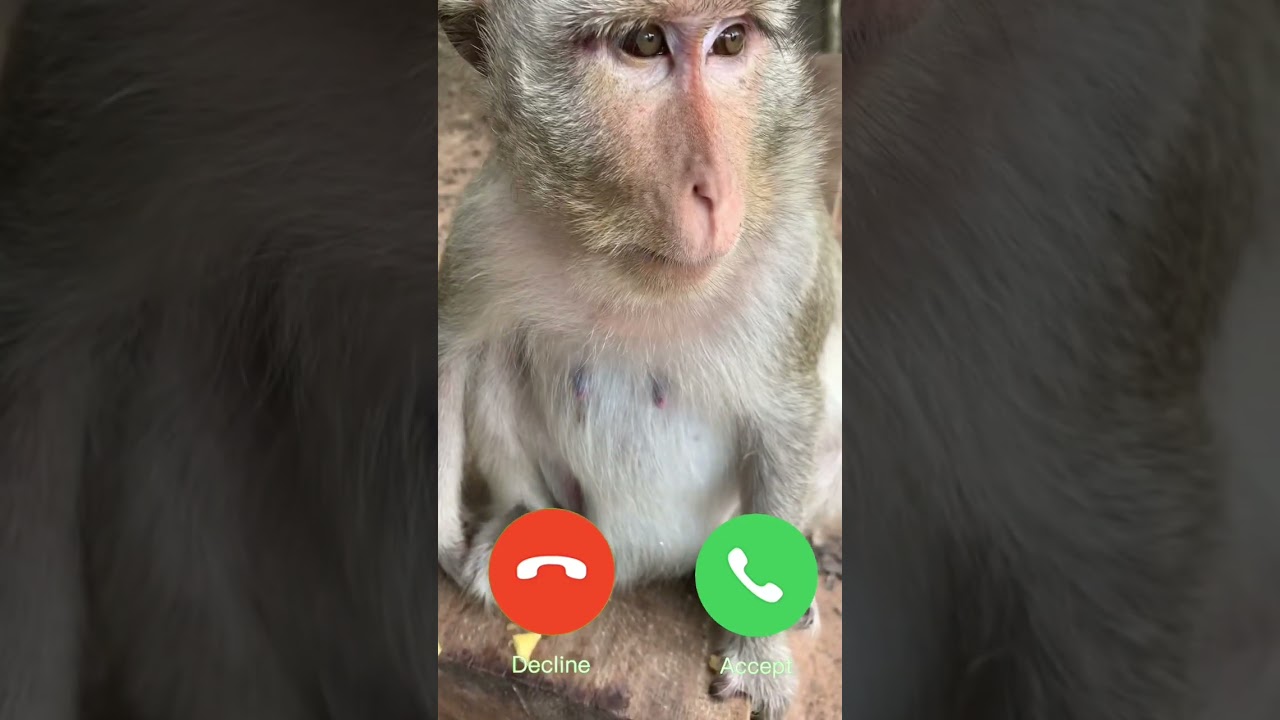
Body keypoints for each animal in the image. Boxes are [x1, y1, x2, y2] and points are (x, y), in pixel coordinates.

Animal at [435, 0, 842, 717]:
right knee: (493, 361)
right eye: (644, 42)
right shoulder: (486, 228)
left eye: (730, 41)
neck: (631, 269)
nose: (715, 190)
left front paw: (760, 654)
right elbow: (453, 358)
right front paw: (443, 543)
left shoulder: (791, 261)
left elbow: (789, 418)